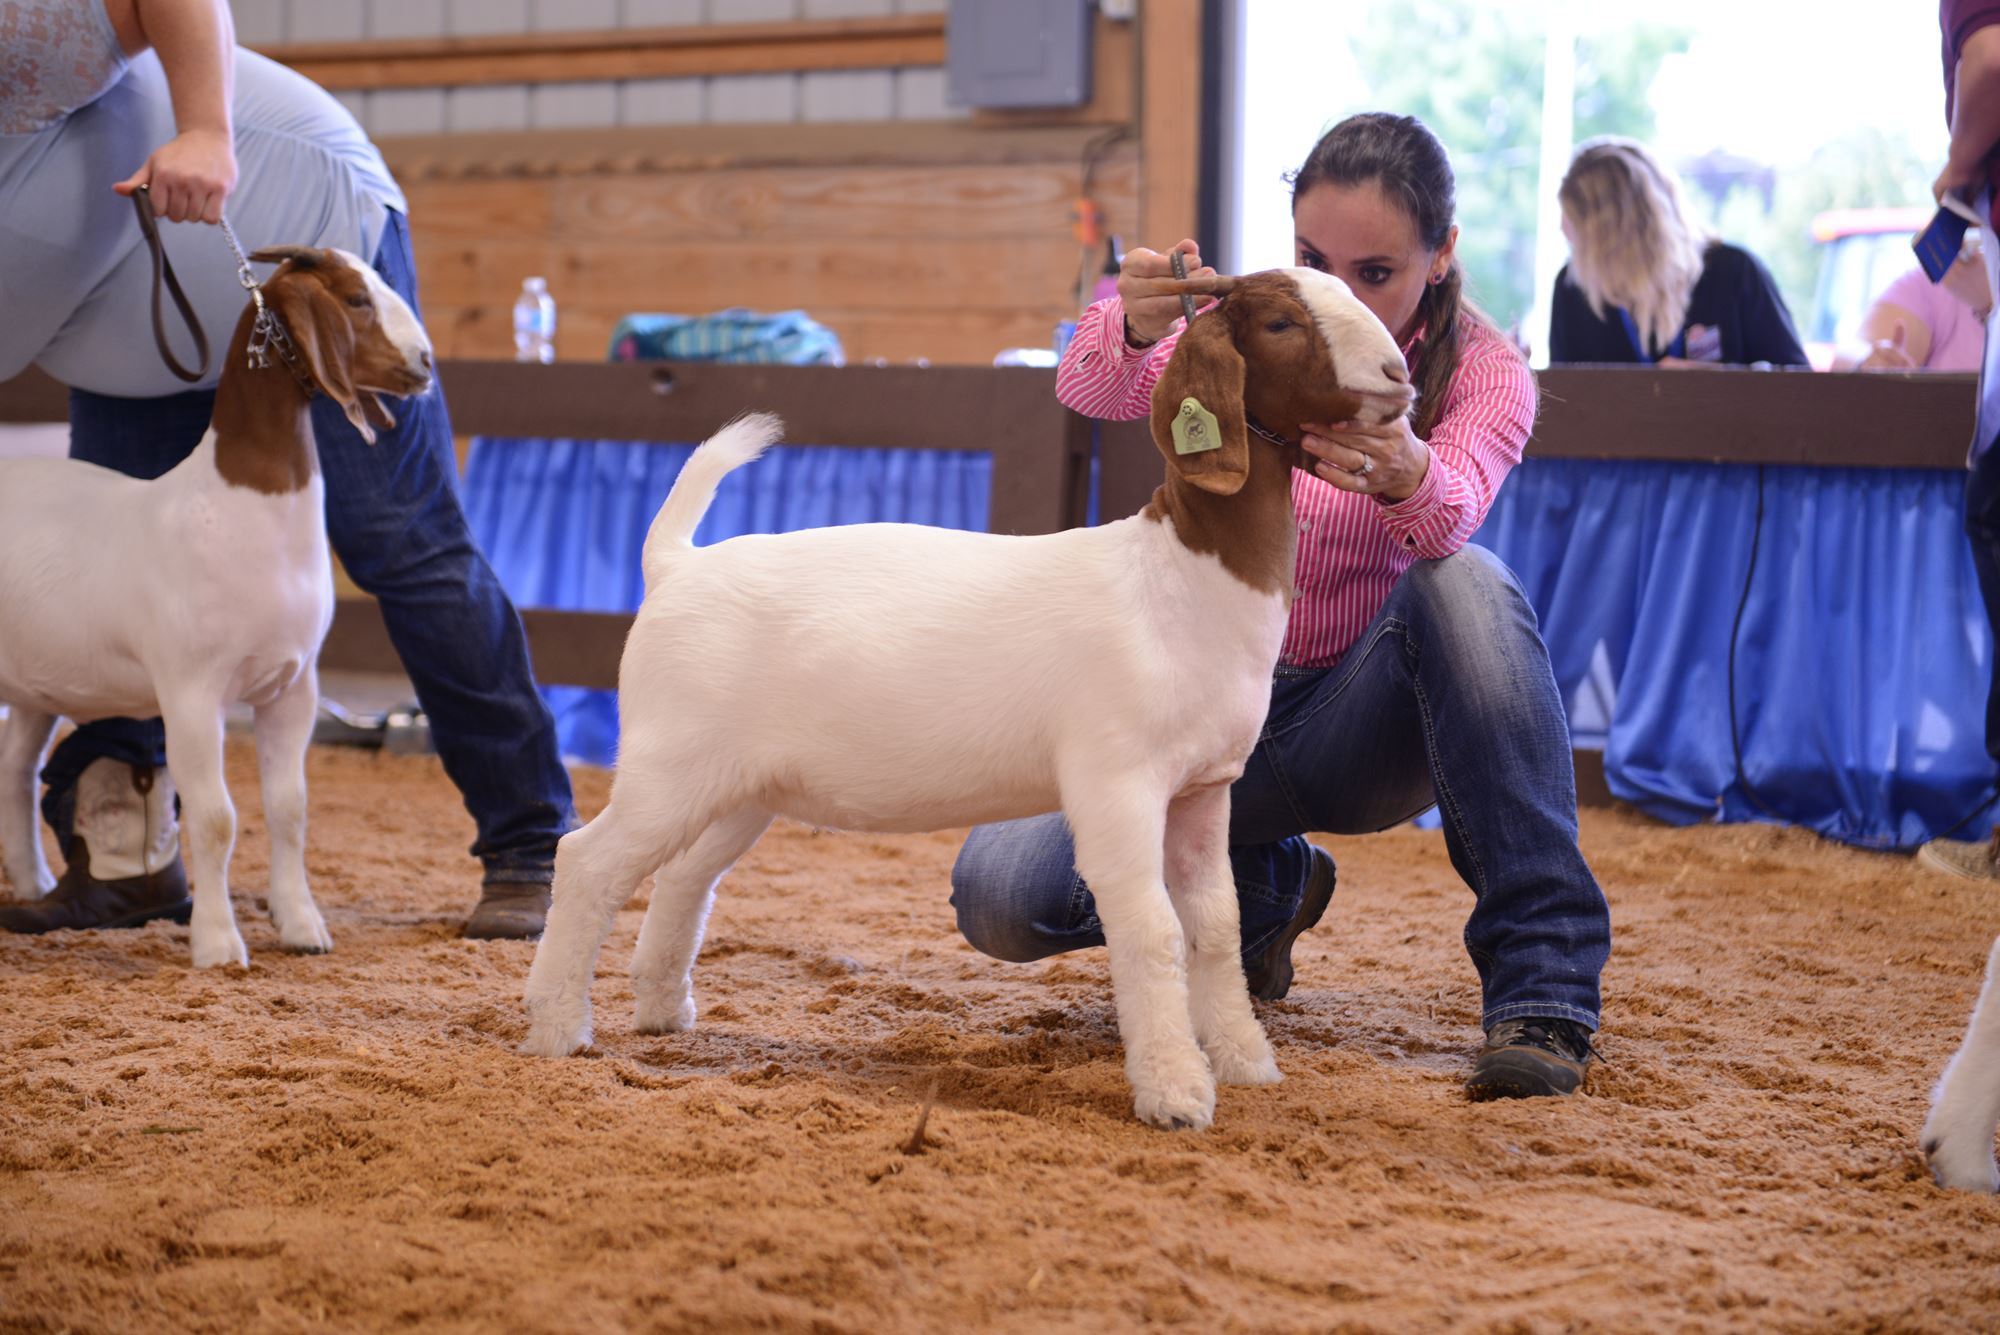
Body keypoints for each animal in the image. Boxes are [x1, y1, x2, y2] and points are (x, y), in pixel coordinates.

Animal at [520, 269, 1415, 1130]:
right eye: (1280, 323)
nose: (1398, 373)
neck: (1178, 577)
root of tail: (677, 564)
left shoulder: (1204, 790)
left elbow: (1215, 924)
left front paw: (1244, 1059)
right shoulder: (1117, 782)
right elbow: (1150, 926)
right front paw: (1174, 1090)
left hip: (741, 785)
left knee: (683, 876)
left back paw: (661, 1008)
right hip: (668, 763)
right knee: (589, 860)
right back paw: (557, 1027)